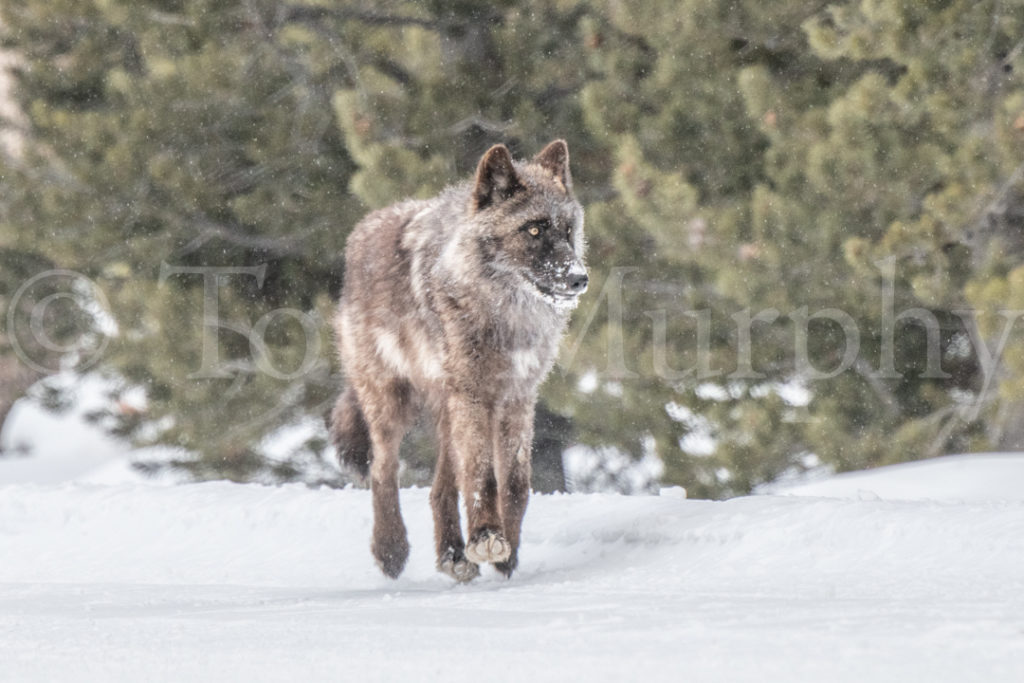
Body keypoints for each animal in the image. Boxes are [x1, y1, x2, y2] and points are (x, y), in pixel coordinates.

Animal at [330, 140, 587, 581]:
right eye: (534, 229)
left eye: (568, 231)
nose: (579, 278)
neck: (507, 315)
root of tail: (360, 233)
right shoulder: (474, 395)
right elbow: (483, 477)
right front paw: (486, 536)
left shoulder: (518, 397)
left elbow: (516, 483)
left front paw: (506, 554)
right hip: (392, 402)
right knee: (383, 470)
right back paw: (391, 549)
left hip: (449, 412)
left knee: (440, 488)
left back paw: (452, 555)